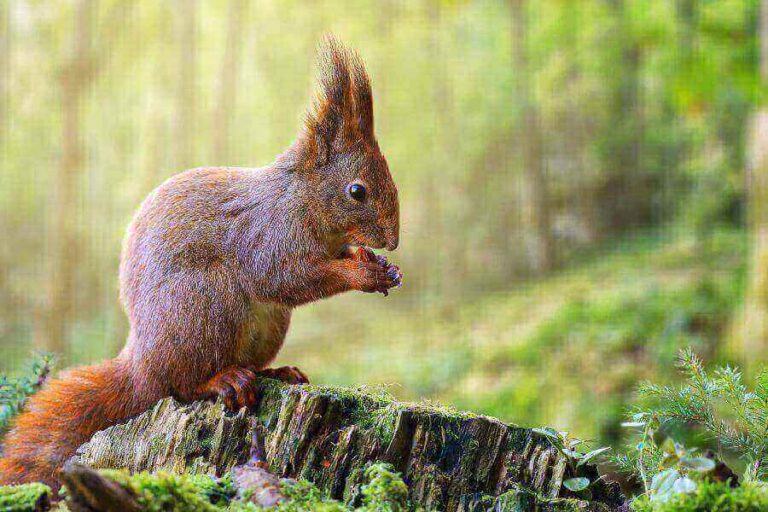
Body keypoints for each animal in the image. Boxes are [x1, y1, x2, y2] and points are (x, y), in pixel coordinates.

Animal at [0, 37, 401, 490]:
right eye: (357, 191)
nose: (393, 240)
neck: (301, 199)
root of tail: (140, 368)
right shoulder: (266, 234)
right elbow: (285, 277)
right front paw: (363, 273)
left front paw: (379, 264)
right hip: (205, 303)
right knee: (181, 386)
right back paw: (222, 379)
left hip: (263, 324)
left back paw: (276, 373)